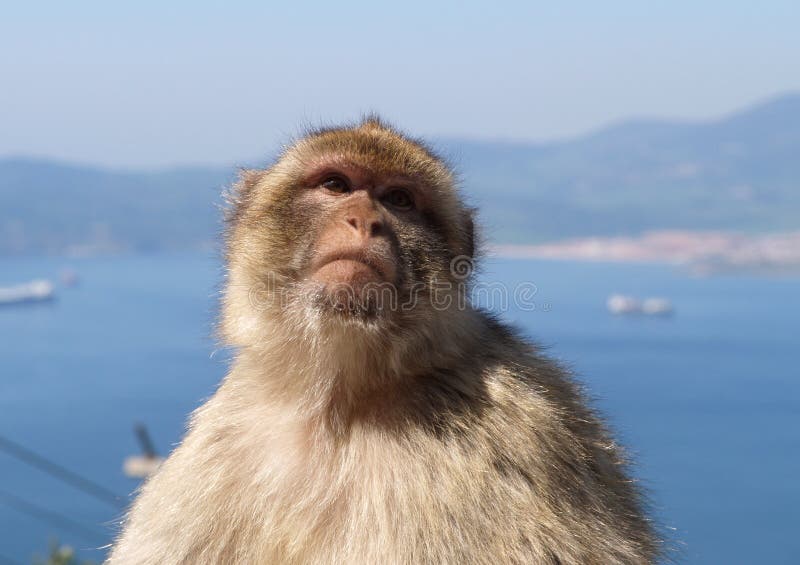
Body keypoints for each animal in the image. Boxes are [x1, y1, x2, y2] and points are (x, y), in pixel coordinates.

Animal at [107, 118, 660, 564]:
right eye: (335, 184)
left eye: (399, 200)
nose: (366, 220)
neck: (336, 398)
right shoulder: (218, 439)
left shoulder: (520, 429)